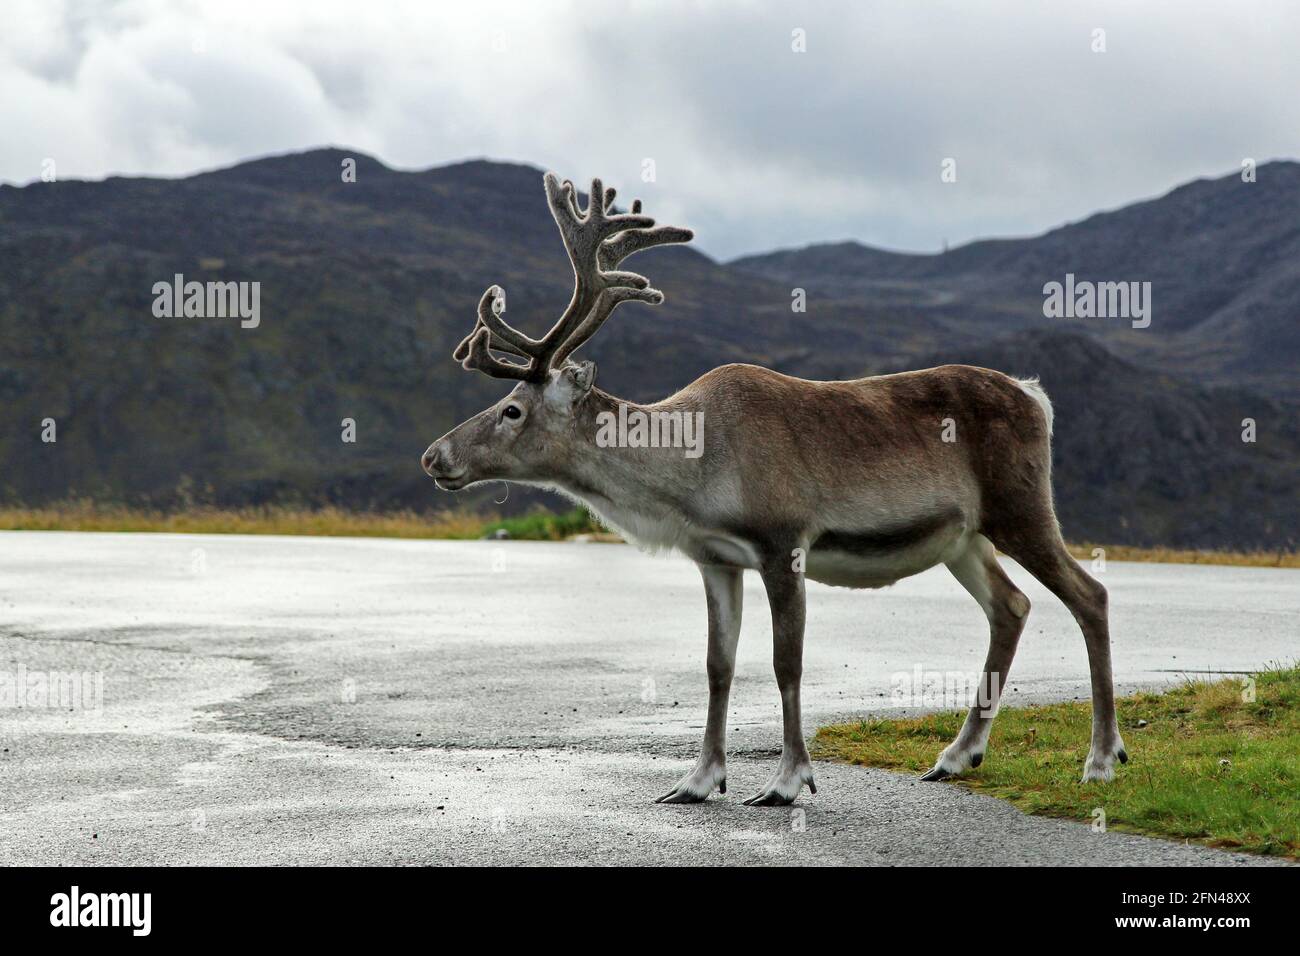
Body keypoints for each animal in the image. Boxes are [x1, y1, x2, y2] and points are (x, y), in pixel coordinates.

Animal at [421, 172, 1126, 806]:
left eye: (513, 409)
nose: (435, 456)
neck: (688, 476)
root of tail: (1036, 397)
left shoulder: (783, 542)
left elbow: (789, 661)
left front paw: (789, 781)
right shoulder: (714, 558)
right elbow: (719, 665)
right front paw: (699, 780)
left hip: (1022, 508)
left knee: (1089, 595)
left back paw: (1101, 759)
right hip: (962, 538)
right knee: (1012, 606)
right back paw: (957, 756)